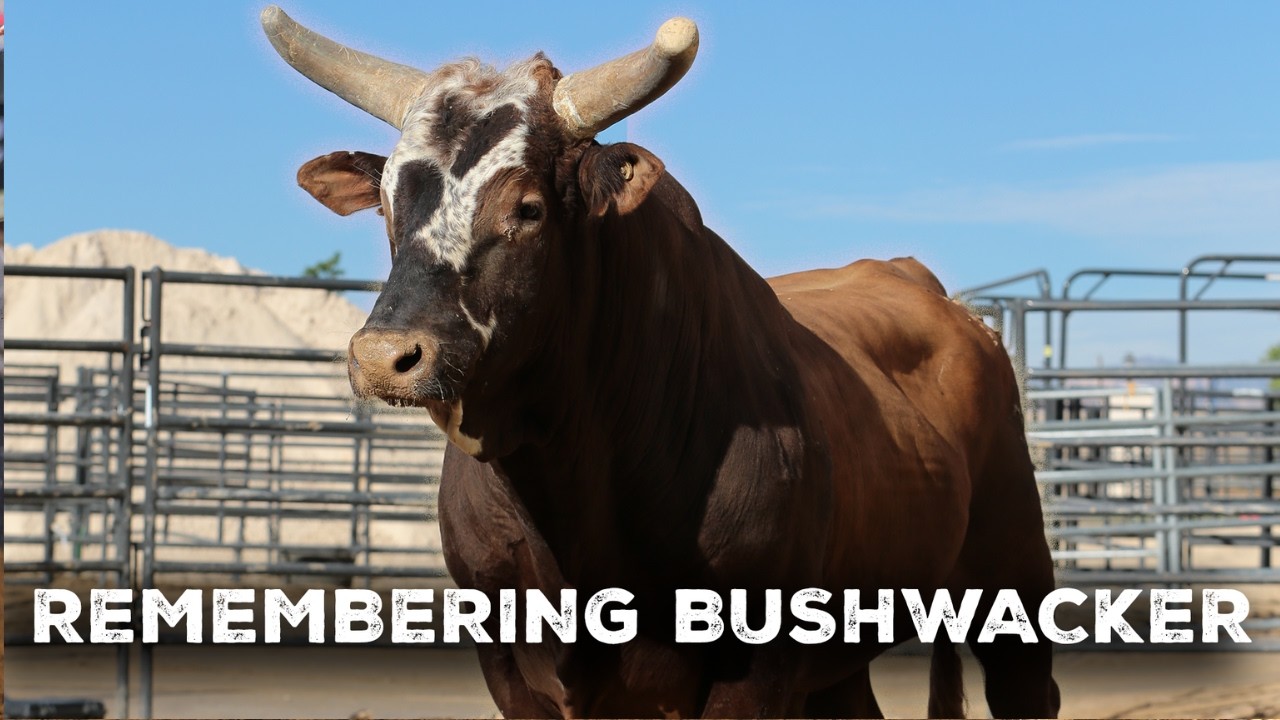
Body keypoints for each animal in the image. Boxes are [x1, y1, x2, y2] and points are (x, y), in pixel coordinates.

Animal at [262, 7, 1060, 718]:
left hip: (1011, 575)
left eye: (528, 208)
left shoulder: (756, 670)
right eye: (388, 204)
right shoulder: (511, 669)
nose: (385, 356)